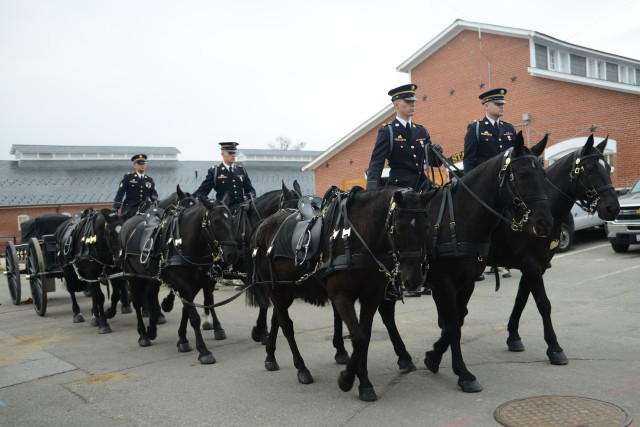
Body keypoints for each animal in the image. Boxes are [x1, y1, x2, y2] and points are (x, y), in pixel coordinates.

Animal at [118, 194, 238, 364]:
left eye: (232, 220)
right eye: (216, 221)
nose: (232, 255)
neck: (185, 244)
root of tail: (127, 224)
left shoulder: (199, 281)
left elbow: (188, 310)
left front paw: (182, 339)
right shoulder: (182, 283)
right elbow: (193, 316)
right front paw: (203, 351)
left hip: (152, 277)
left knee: (149, 294)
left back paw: (152, 327)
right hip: (132, 276)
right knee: (137, 302)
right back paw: (143, 335)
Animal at [245, 187, 436, 402]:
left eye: (427, 226)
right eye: (399, 226)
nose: (414, 280)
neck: (356, 237)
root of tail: (263, 225)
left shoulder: (371, 297)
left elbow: (365, 336)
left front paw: (363, 383)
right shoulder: (341, 297)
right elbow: (358, 336)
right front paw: (347, 379)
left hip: (287, 291)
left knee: (277, 319)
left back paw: (270, 356)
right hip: (274, 289)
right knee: (286, 325)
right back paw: (301, 368)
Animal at [490, 135, 620, 364]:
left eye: (607, 166)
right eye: (591, 169)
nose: (613, 207)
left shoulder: (536, 265)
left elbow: (521, 299)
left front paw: (513, 336)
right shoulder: (530, 264)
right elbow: (543, 304)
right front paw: (554, 347)